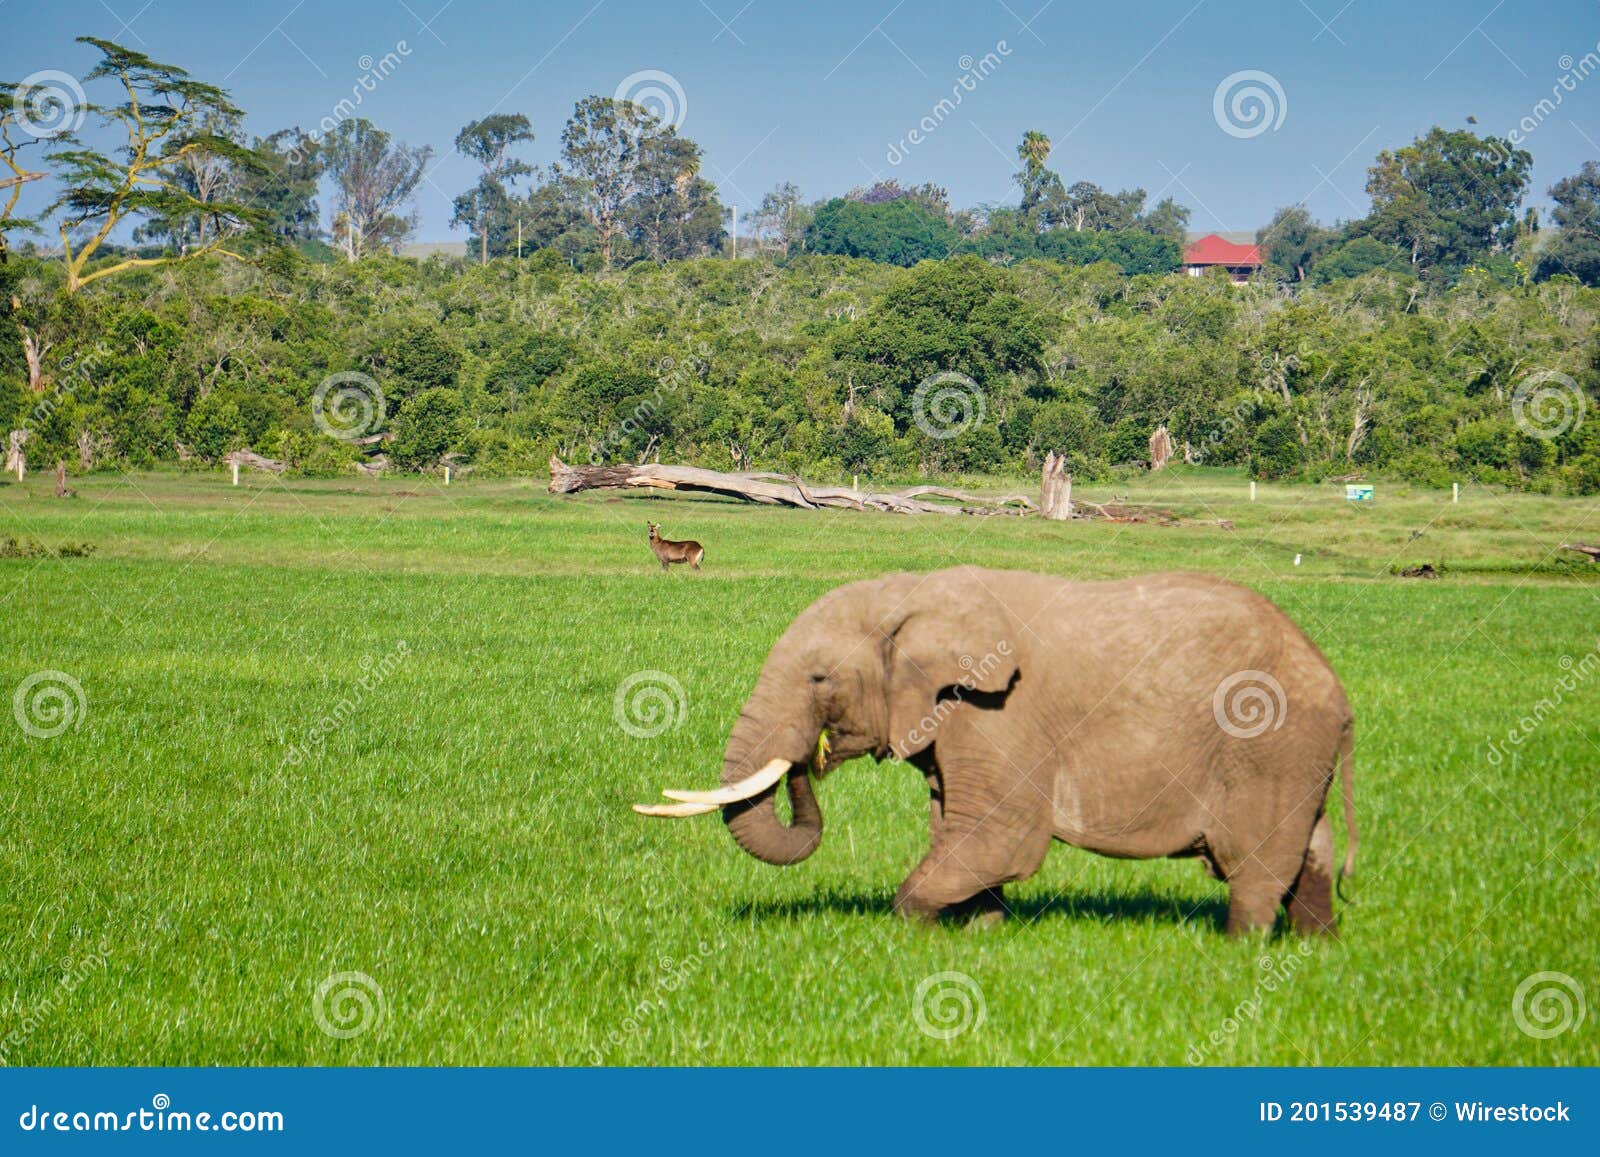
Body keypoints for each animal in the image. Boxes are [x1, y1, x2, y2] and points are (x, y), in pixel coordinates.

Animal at [636, 566, 1357, 936]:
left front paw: (910, 933)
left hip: (1271, 747)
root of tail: (1338, 692)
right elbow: (955, 826)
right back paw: (1314, 949)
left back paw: (1240, 950)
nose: (811, 756)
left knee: (1257, 864)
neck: (911, 593)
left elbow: (1002, 834)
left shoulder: (999, 712)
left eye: (818, 680)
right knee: (1312, 852)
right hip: (1298, 755)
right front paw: (983, 936)